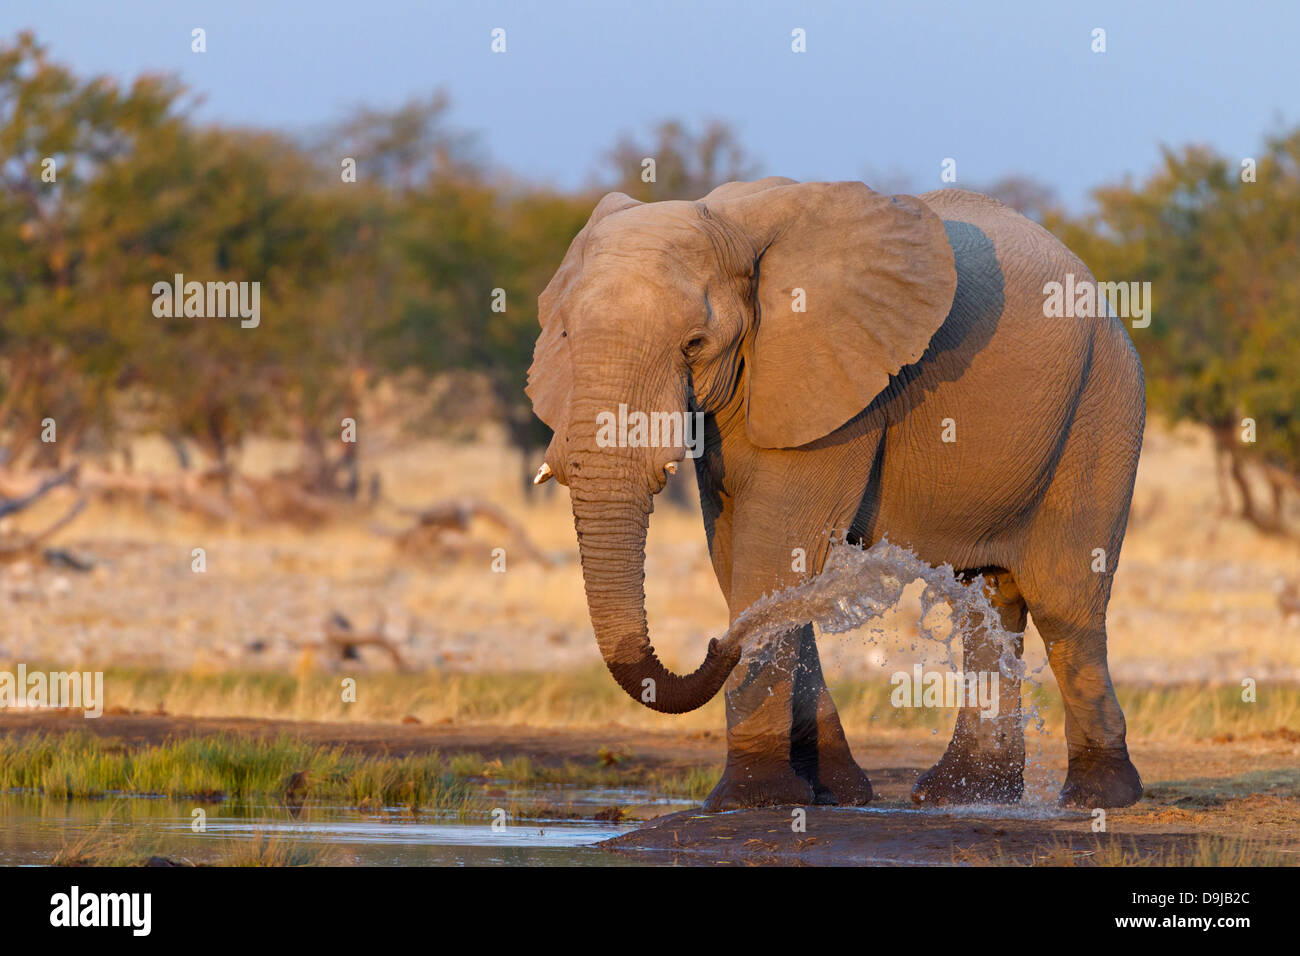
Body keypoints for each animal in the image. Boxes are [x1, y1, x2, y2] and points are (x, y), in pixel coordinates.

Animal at [526, 177, 1145, 811]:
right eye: (565, 335)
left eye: (694, 344)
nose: (716, 642)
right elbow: (738, 555)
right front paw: (831, 791)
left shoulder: (838, 389)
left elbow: (773, 552)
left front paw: (755, 799)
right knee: (987, 598)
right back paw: (965, 793)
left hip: (1103, 405)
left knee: (1065, 605)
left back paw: (1096, 796)